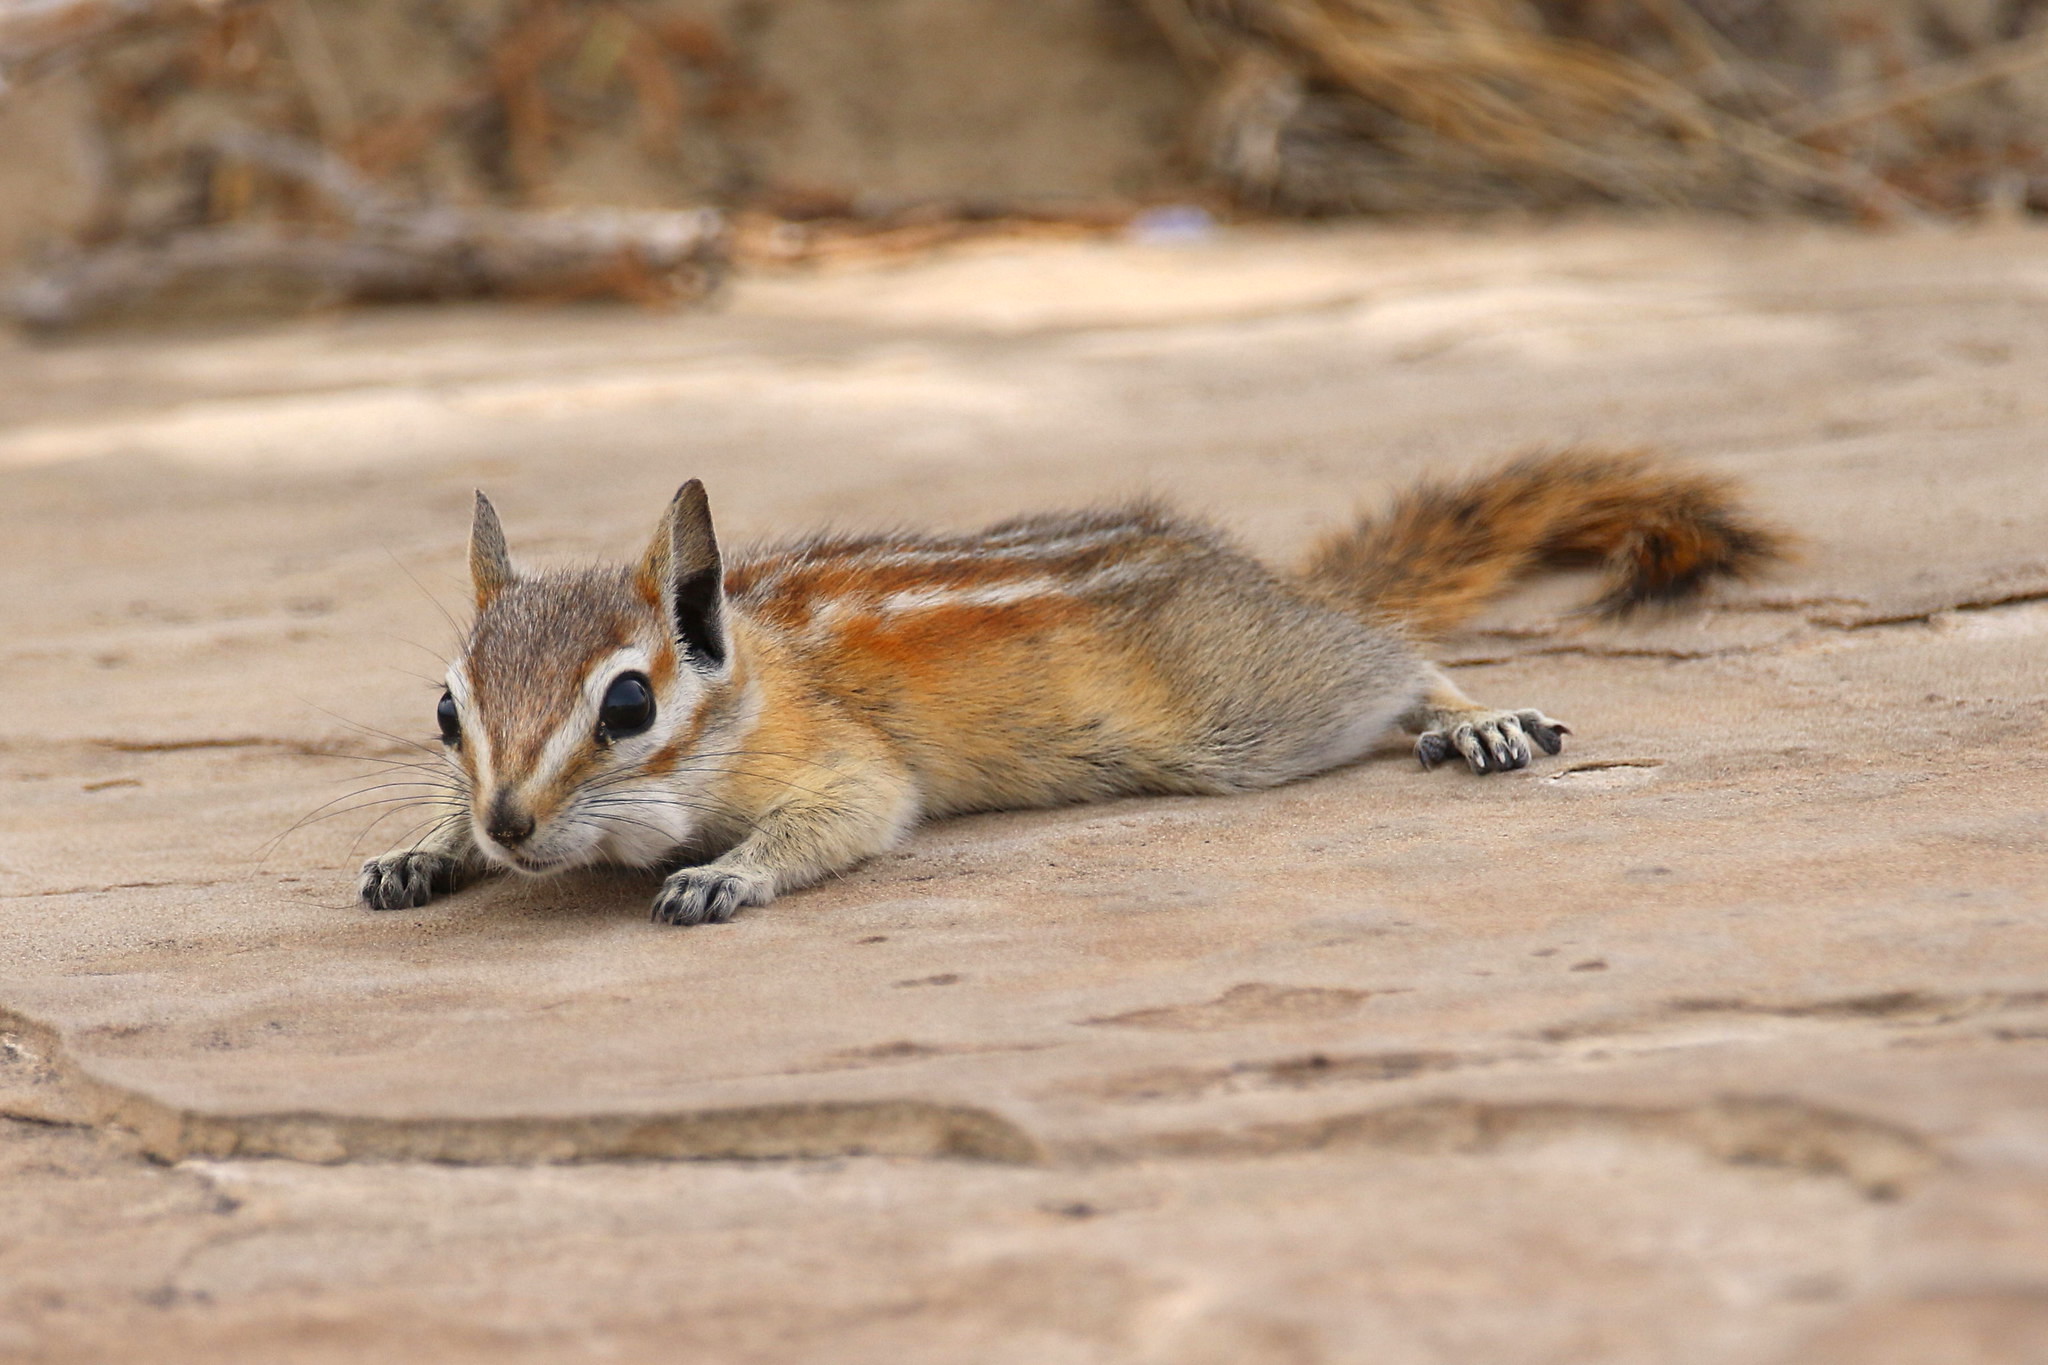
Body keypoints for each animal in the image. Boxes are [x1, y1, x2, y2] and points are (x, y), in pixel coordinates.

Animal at [358, 450, 1783, 925]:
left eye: (628, 707)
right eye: (445, 711)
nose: (508, 827)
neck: (756, 674)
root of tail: (1244, 565)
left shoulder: (842, 759)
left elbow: (850, 816)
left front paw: (726, 875)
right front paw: (424, 850)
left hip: (1260, 706)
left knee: (1388, 652)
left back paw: (1472, 714)